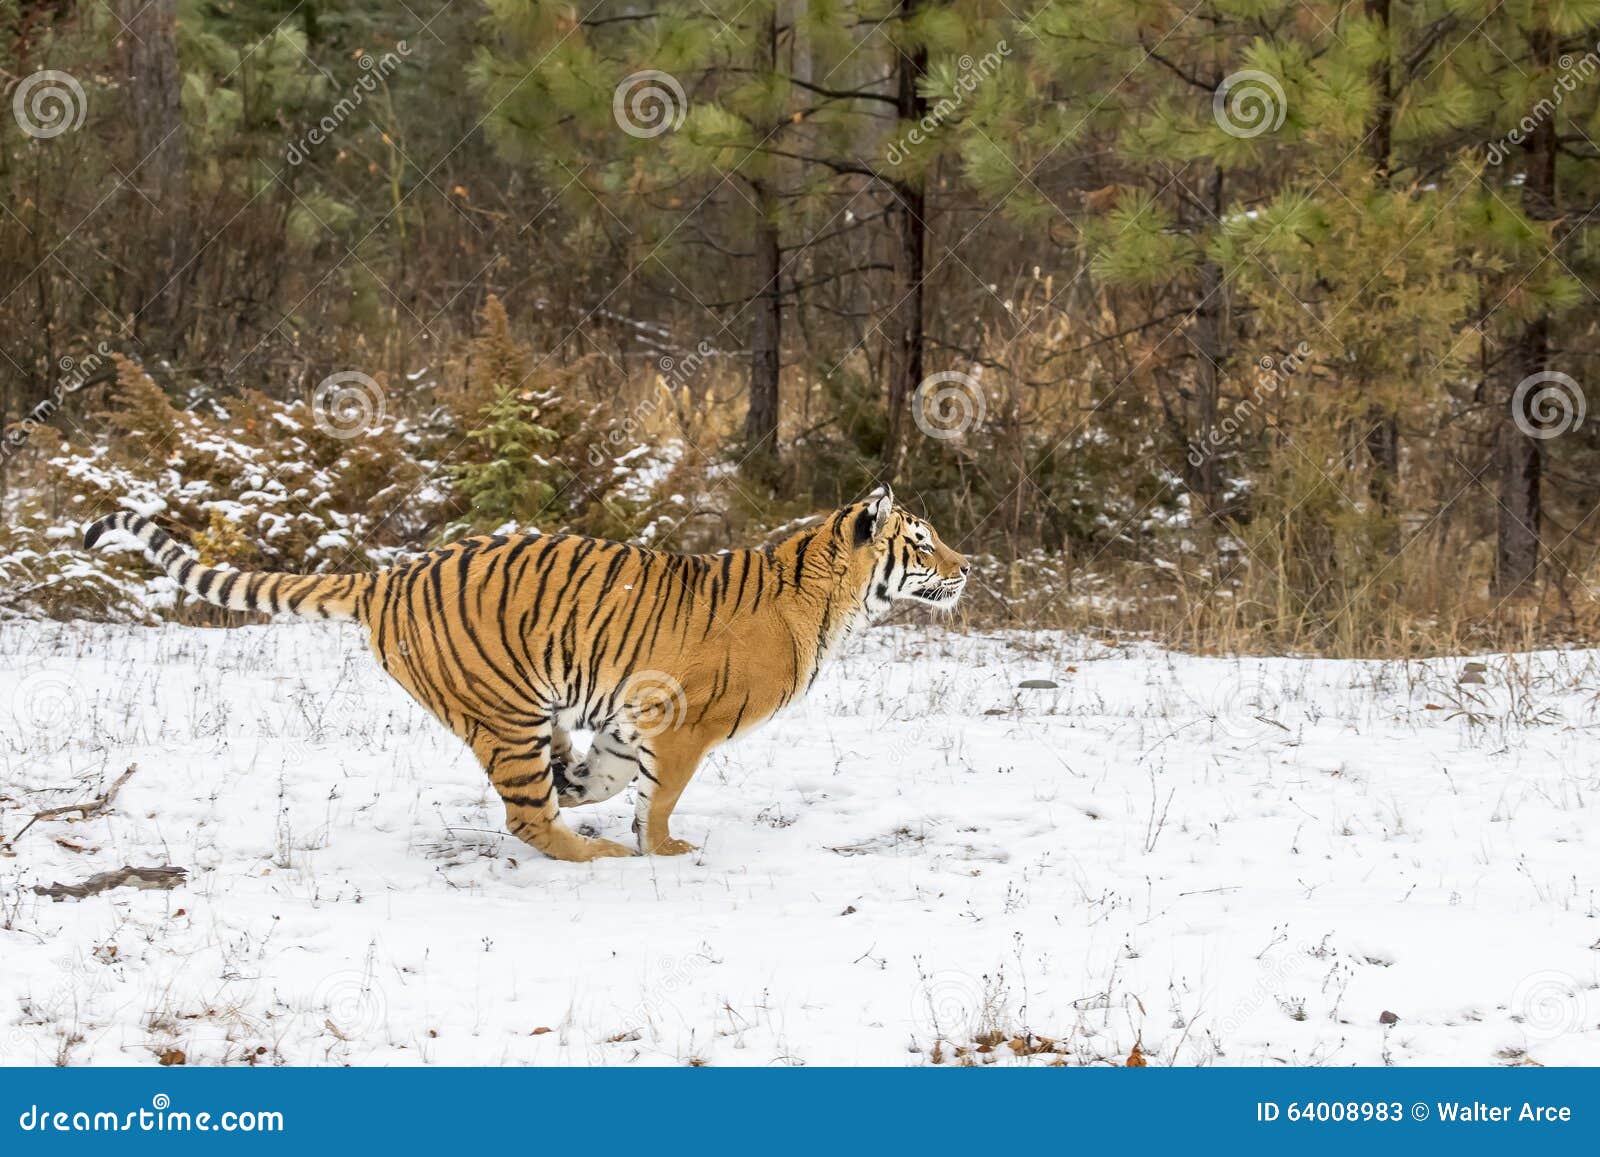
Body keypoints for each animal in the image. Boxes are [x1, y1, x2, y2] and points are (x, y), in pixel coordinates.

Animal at [82, 486, 969, 862]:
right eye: (923, 542)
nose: (971, 566)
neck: (831, 596)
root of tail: (385, 576)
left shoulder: (628, 717)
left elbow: (612, 777)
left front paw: (583, 785)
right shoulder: (683, 721)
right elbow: (659, 798)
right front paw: (664, 848)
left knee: (531, 802)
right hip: (502, 708)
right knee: (524, 819)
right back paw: (591, 854)